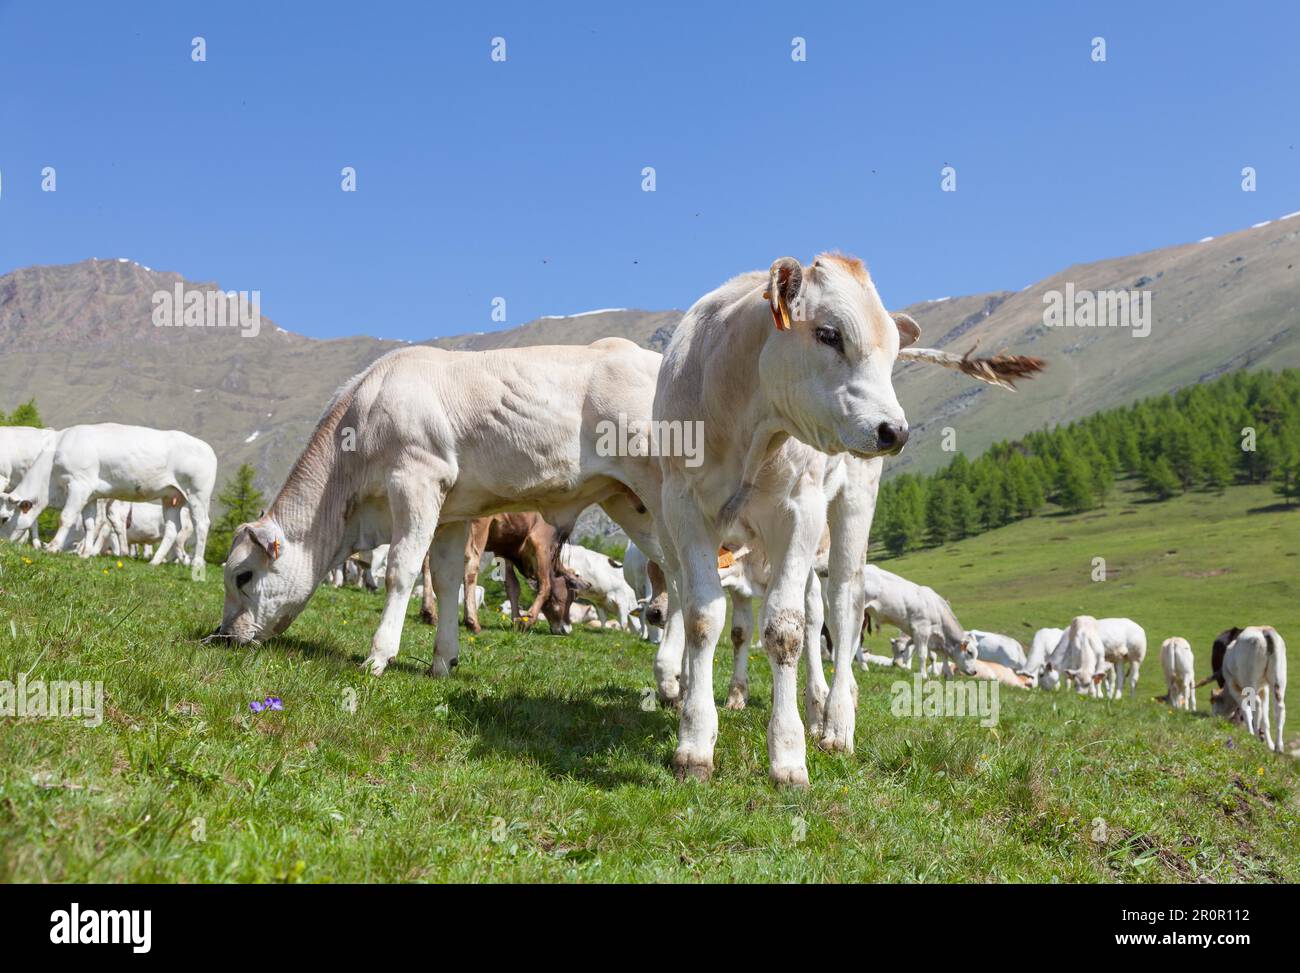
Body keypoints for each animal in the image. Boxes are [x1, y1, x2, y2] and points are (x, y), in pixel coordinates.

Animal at [0, 423, 215, 577]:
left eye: (4, 519)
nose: (3, 543)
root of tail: (207, 448)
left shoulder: (79, 485)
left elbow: (66, 517)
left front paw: (53, 547)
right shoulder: (90, 495)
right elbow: (89, 523)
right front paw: (85, 553)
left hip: (198, 494)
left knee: (202, 525)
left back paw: (196, 565)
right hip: (171, 497)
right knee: (171, 529)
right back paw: (154, 562)